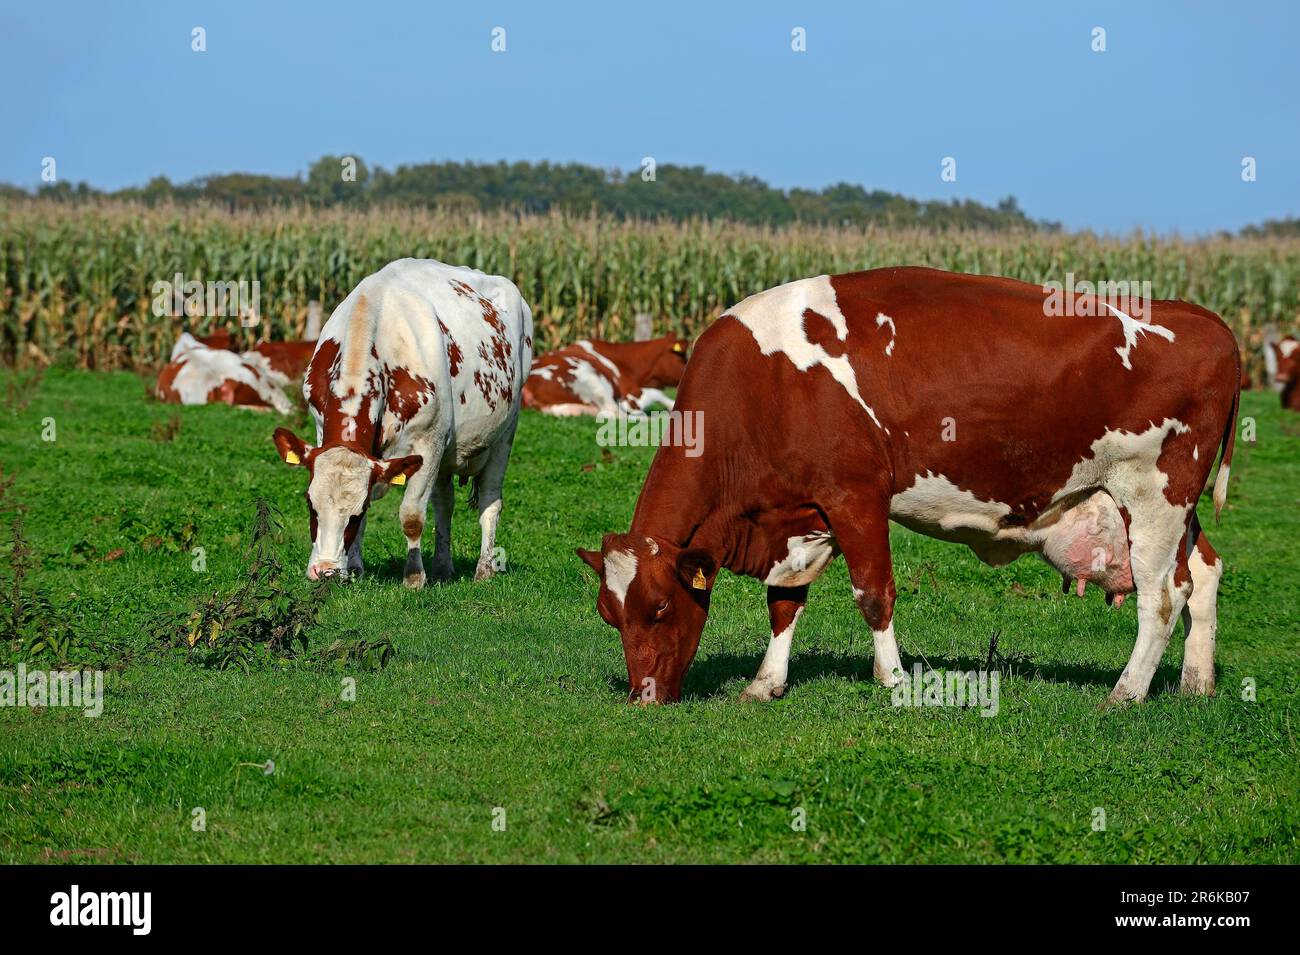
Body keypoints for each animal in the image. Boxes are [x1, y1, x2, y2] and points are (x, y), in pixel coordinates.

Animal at [271, 258, 533, 586]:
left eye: (354, 514)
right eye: (311, 506)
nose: (325, 571)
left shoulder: (428, 442)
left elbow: (411, 516)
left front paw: (414, 577)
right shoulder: (323, 430)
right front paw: (355, 568)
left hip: (504, 434)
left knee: (489, 501)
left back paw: (484, 570)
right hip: (450, 450)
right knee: (444, 503)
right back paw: (442, 567)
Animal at [577, 267, 1240, 707]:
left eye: (661, 607)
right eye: (610, 615)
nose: (643, 698)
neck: (766, 383)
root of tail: (1200, 317)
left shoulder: (856, 495)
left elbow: (874, 594)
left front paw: (894, 681)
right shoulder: (803, 514)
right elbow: (784, 601)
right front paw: (766, 683)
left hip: (1154, 496)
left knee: (1161, 597)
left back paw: (1125, 694)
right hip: (1172, 510)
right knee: (1205, 572)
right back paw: (1196, 684)